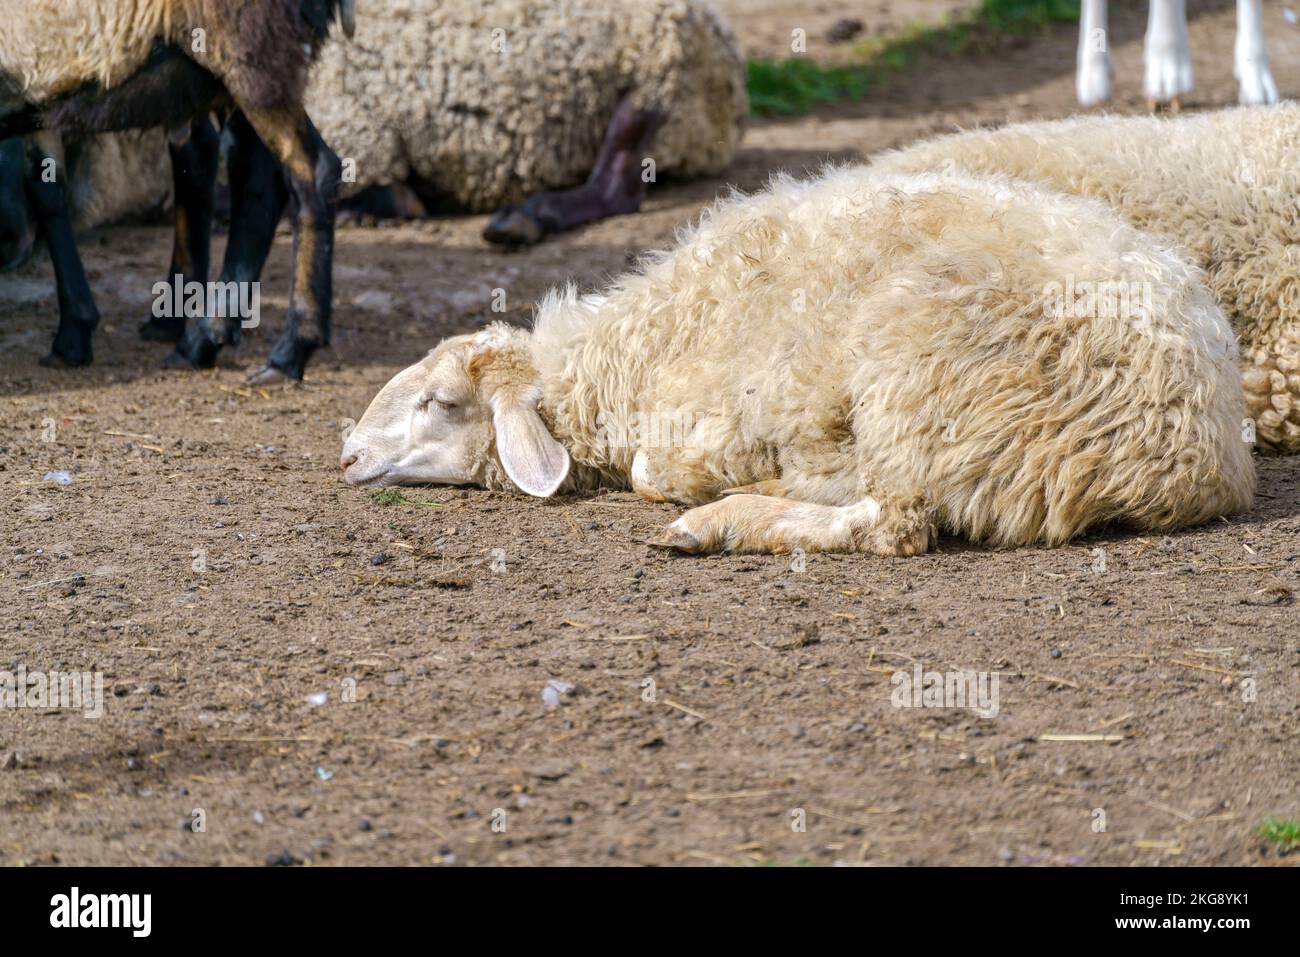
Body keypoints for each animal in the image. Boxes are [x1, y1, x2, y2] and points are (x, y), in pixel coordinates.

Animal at [0, 0, 354, 380]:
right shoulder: (36, 80)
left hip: (250, 45)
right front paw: (73, 333)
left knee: (312, 172)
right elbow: (46, 191)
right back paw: (203, 338)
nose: (10, 242)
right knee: (257, 177)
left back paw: (289, 350)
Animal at [339, 167, 1255, 556]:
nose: (344, 453)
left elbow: (648, 470)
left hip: (918, 371)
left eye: (437, 402)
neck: (639, 350)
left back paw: (718, 521)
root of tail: (1197, 462)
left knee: (896, 524)